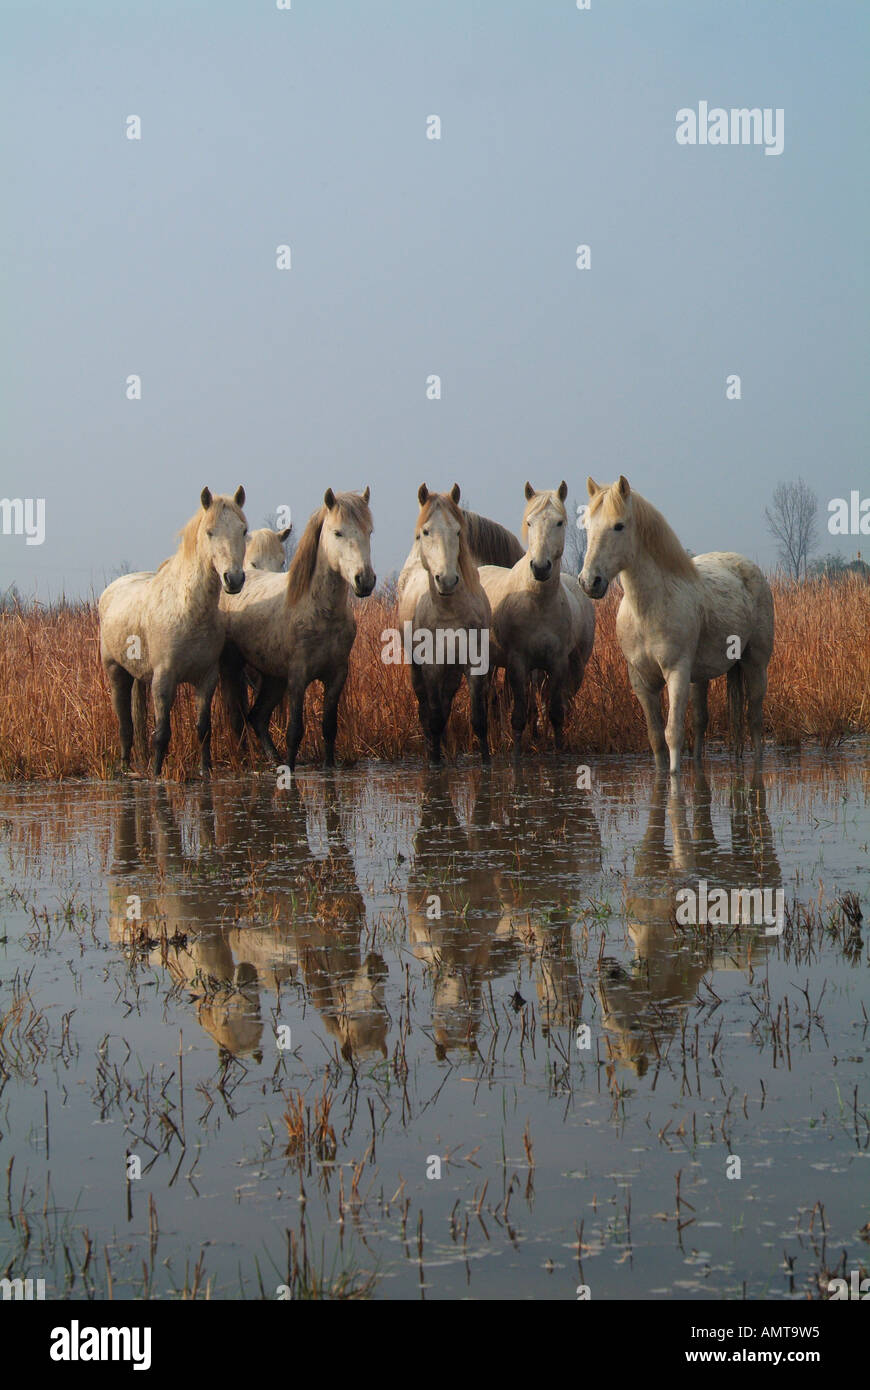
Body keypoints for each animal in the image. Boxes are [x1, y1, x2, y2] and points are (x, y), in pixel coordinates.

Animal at [99, 486, 248, 776]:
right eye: (210, 532)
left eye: (243, 530)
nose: (233, 579)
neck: (188, 611)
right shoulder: (164, 679)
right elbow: (162, 732)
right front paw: (157, 773)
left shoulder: (206, 679)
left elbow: (203, 729)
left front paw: (205, 769)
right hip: (116, 672)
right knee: (124, 724)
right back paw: (124, 766)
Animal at [220, 487, 374, 770]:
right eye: (338, 532)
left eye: (369, 531)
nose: (365, 581)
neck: (321, 613)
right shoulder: (298, 677)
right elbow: (294, 731)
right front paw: (289, 769)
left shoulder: (337, 675)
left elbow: (329, 728)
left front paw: (328, 768)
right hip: (232, 669)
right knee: (237, 719)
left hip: (273, 677)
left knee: (257, 717)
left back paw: (273, 758)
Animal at [398, 484, 511, 763]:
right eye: (426, 532)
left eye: (458, 531)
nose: (447, 580)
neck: (450, 611)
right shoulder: (431, 666)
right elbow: (435, 718)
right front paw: (435, 762)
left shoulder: (475, 664)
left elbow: (479, 720)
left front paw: (486, 763)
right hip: (417, 667)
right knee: (426, 711)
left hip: (453, 671)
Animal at [478, 481, 595, 752]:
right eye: (529, 522)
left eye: (559, 522)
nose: (540, 568)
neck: (538, 603)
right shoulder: (518, 664)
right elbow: (518, 718)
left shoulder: (558, 663)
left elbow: (556, 714)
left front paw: (558, 749)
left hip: (575, 668)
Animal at [580, 476, 774, 774]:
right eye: (588, 526)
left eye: (619, 526)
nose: (590, 582)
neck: (648, 610)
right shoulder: (641, 681)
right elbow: (656, 737)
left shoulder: (676, 673)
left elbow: (673, 734)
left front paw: (674, 777)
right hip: (702, 678)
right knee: (701, 721)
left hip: (755, 665)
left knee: (754, 719)